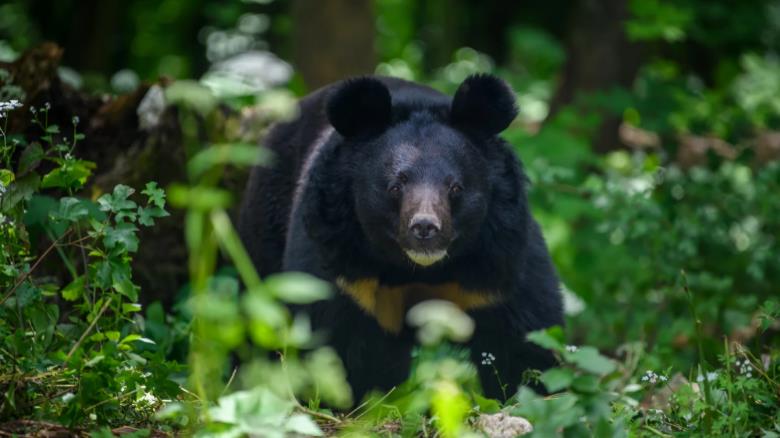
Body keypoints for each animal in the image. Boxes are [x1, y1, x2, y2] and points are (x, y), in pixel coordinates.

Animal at [238, 74, 563, 402]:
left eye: (455, 187)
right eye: (395, 186)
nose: (425, 228)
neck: (419, 269)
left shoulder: (499, 264)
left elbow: (525, 340)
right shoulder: (341, 263)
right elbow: (331, 343)